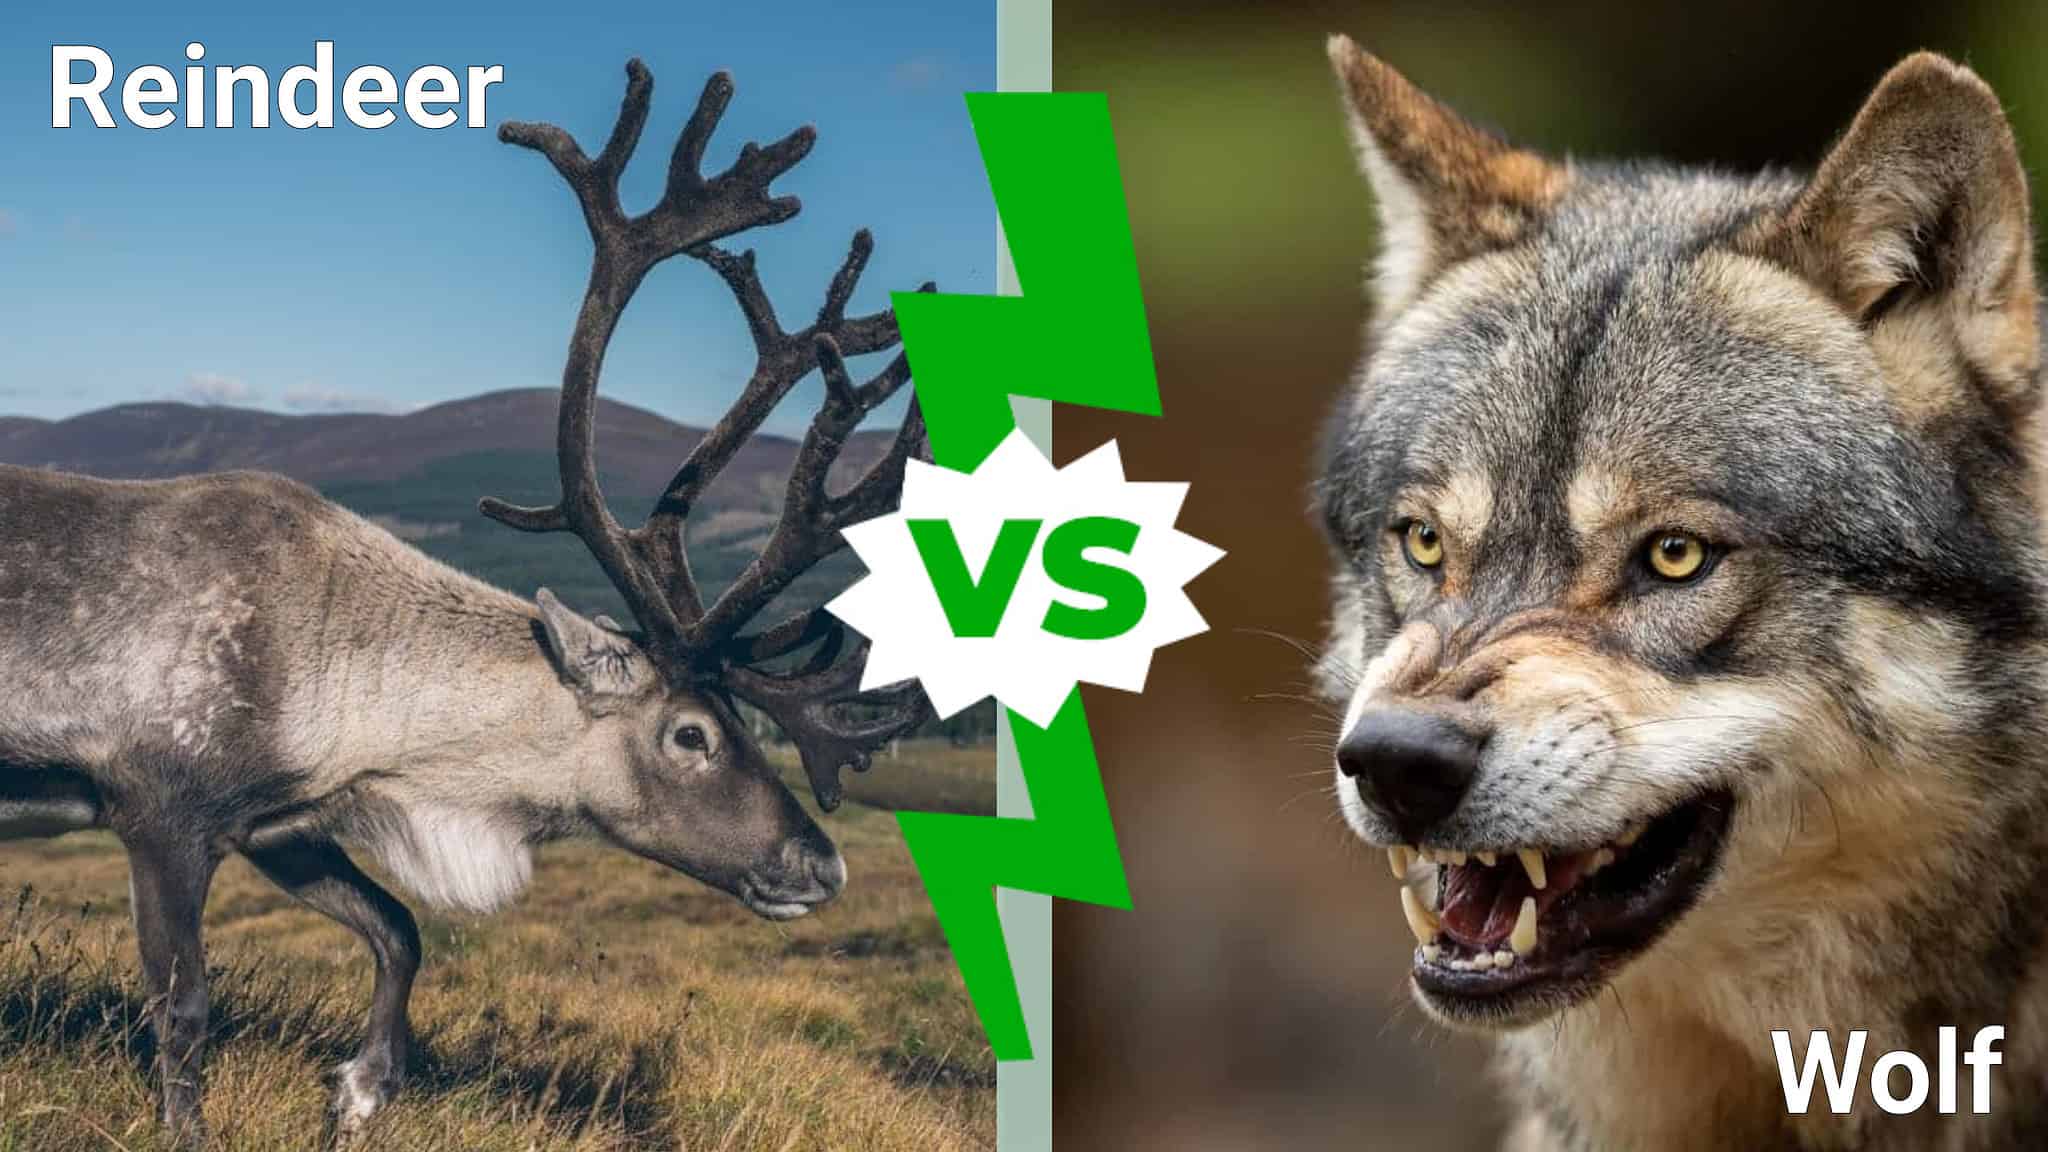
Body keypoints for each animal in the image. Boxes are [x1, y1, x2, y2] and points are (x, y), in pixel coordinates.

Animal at [0, 59, 932, 1145]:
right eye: (691, 734)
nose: (821, 865)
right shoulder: (161, 810)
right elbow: (184, 1010)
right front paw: (197, 1129)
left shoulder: (283, 824)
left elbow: (401, 929)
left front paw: (360, 1091)